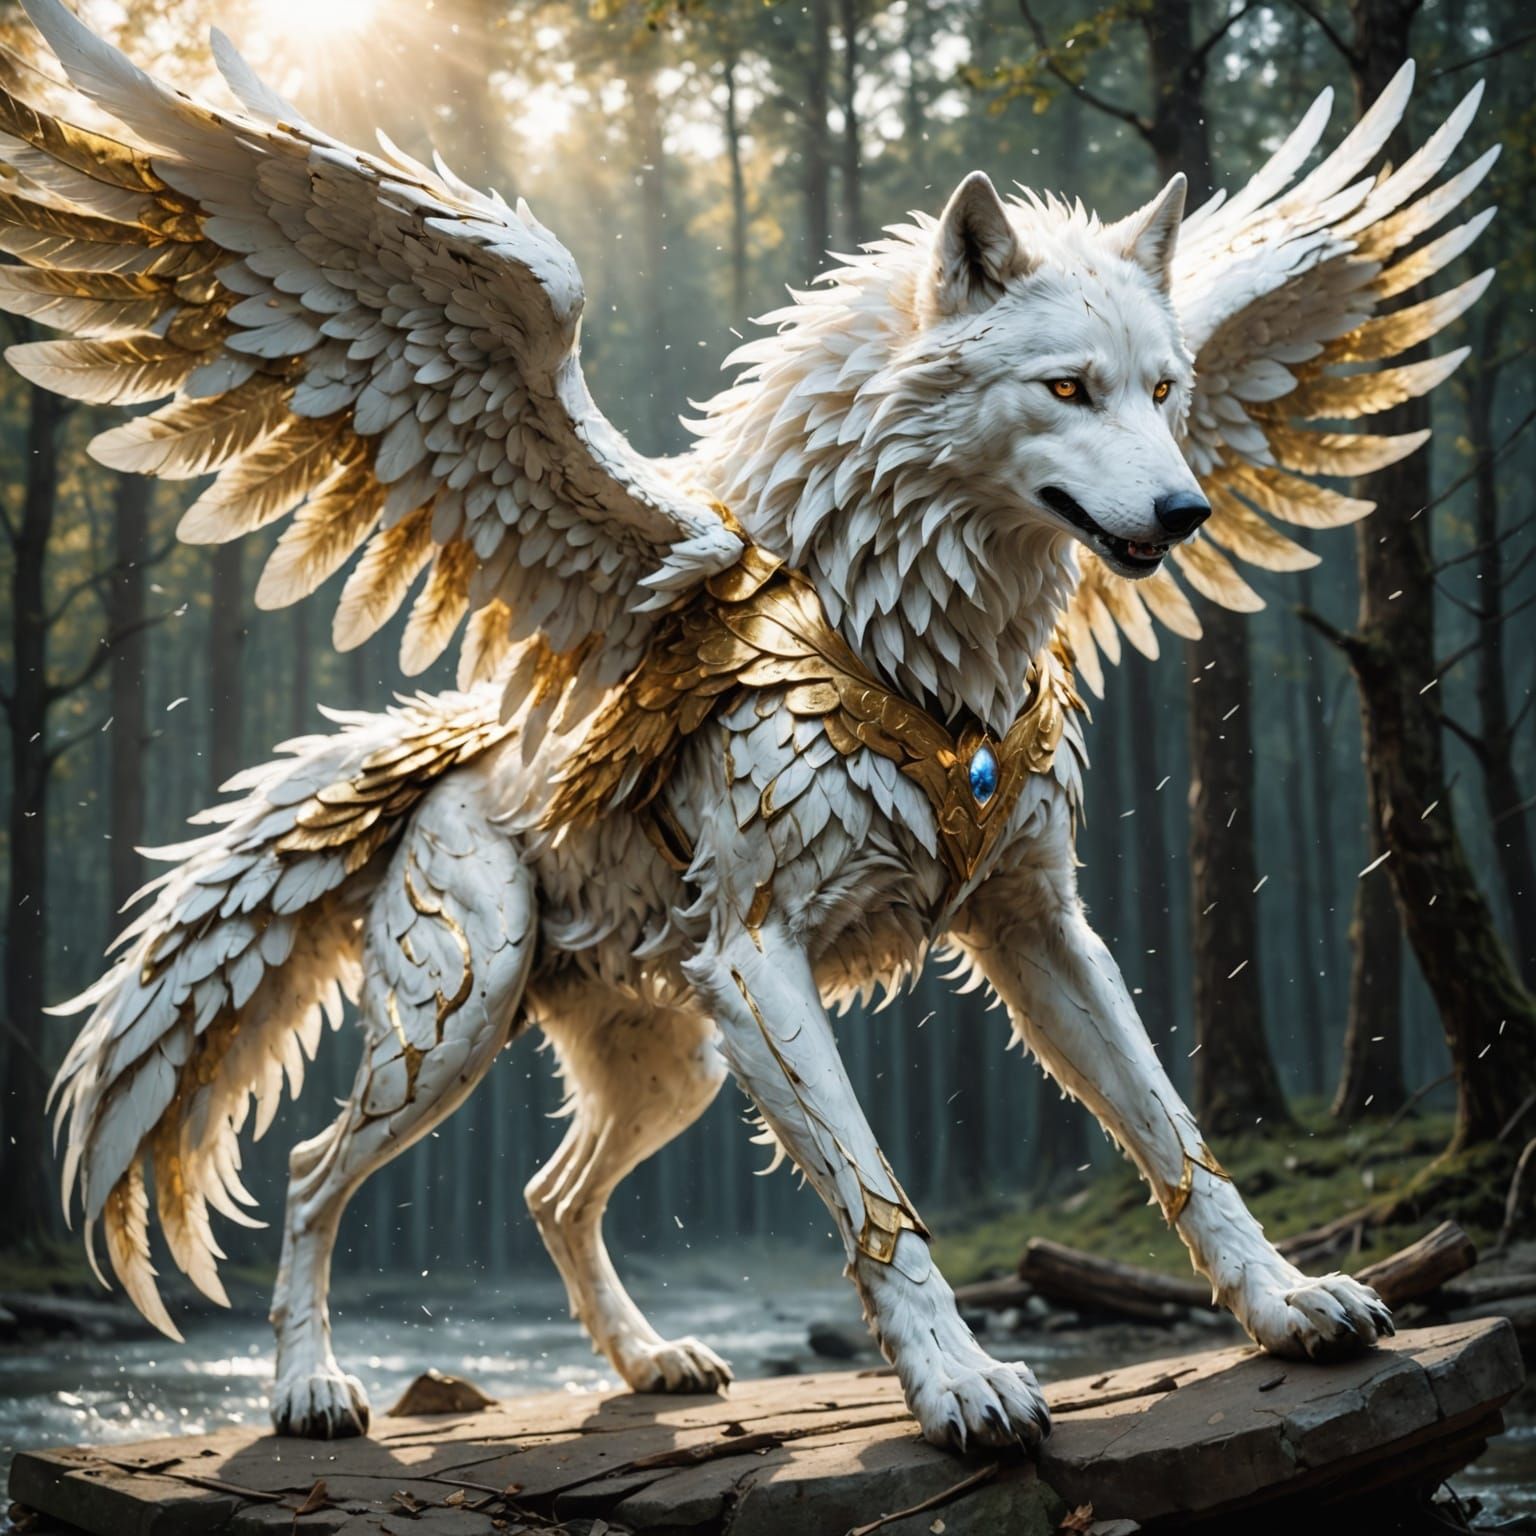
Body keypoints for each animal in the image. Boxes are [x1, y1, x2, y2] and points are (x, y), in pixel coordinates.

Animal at [9, 0, 1494, 1449]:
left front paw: (1289, 1306)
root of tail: (451, 748)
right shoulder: (761, 954)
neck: (913, 643)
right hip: (467, 1010)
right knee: (321, 1171)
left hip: (665, 1057)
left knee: (551, 1191)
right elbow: (879, 1198)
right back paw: (311, 1392)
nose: (1187, 512)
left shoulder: (1040, 928)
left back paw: (650, 1365)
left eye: (1172, 390)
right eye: (1068, 388)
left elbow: (1175, 1138)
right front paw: (961, 1389)